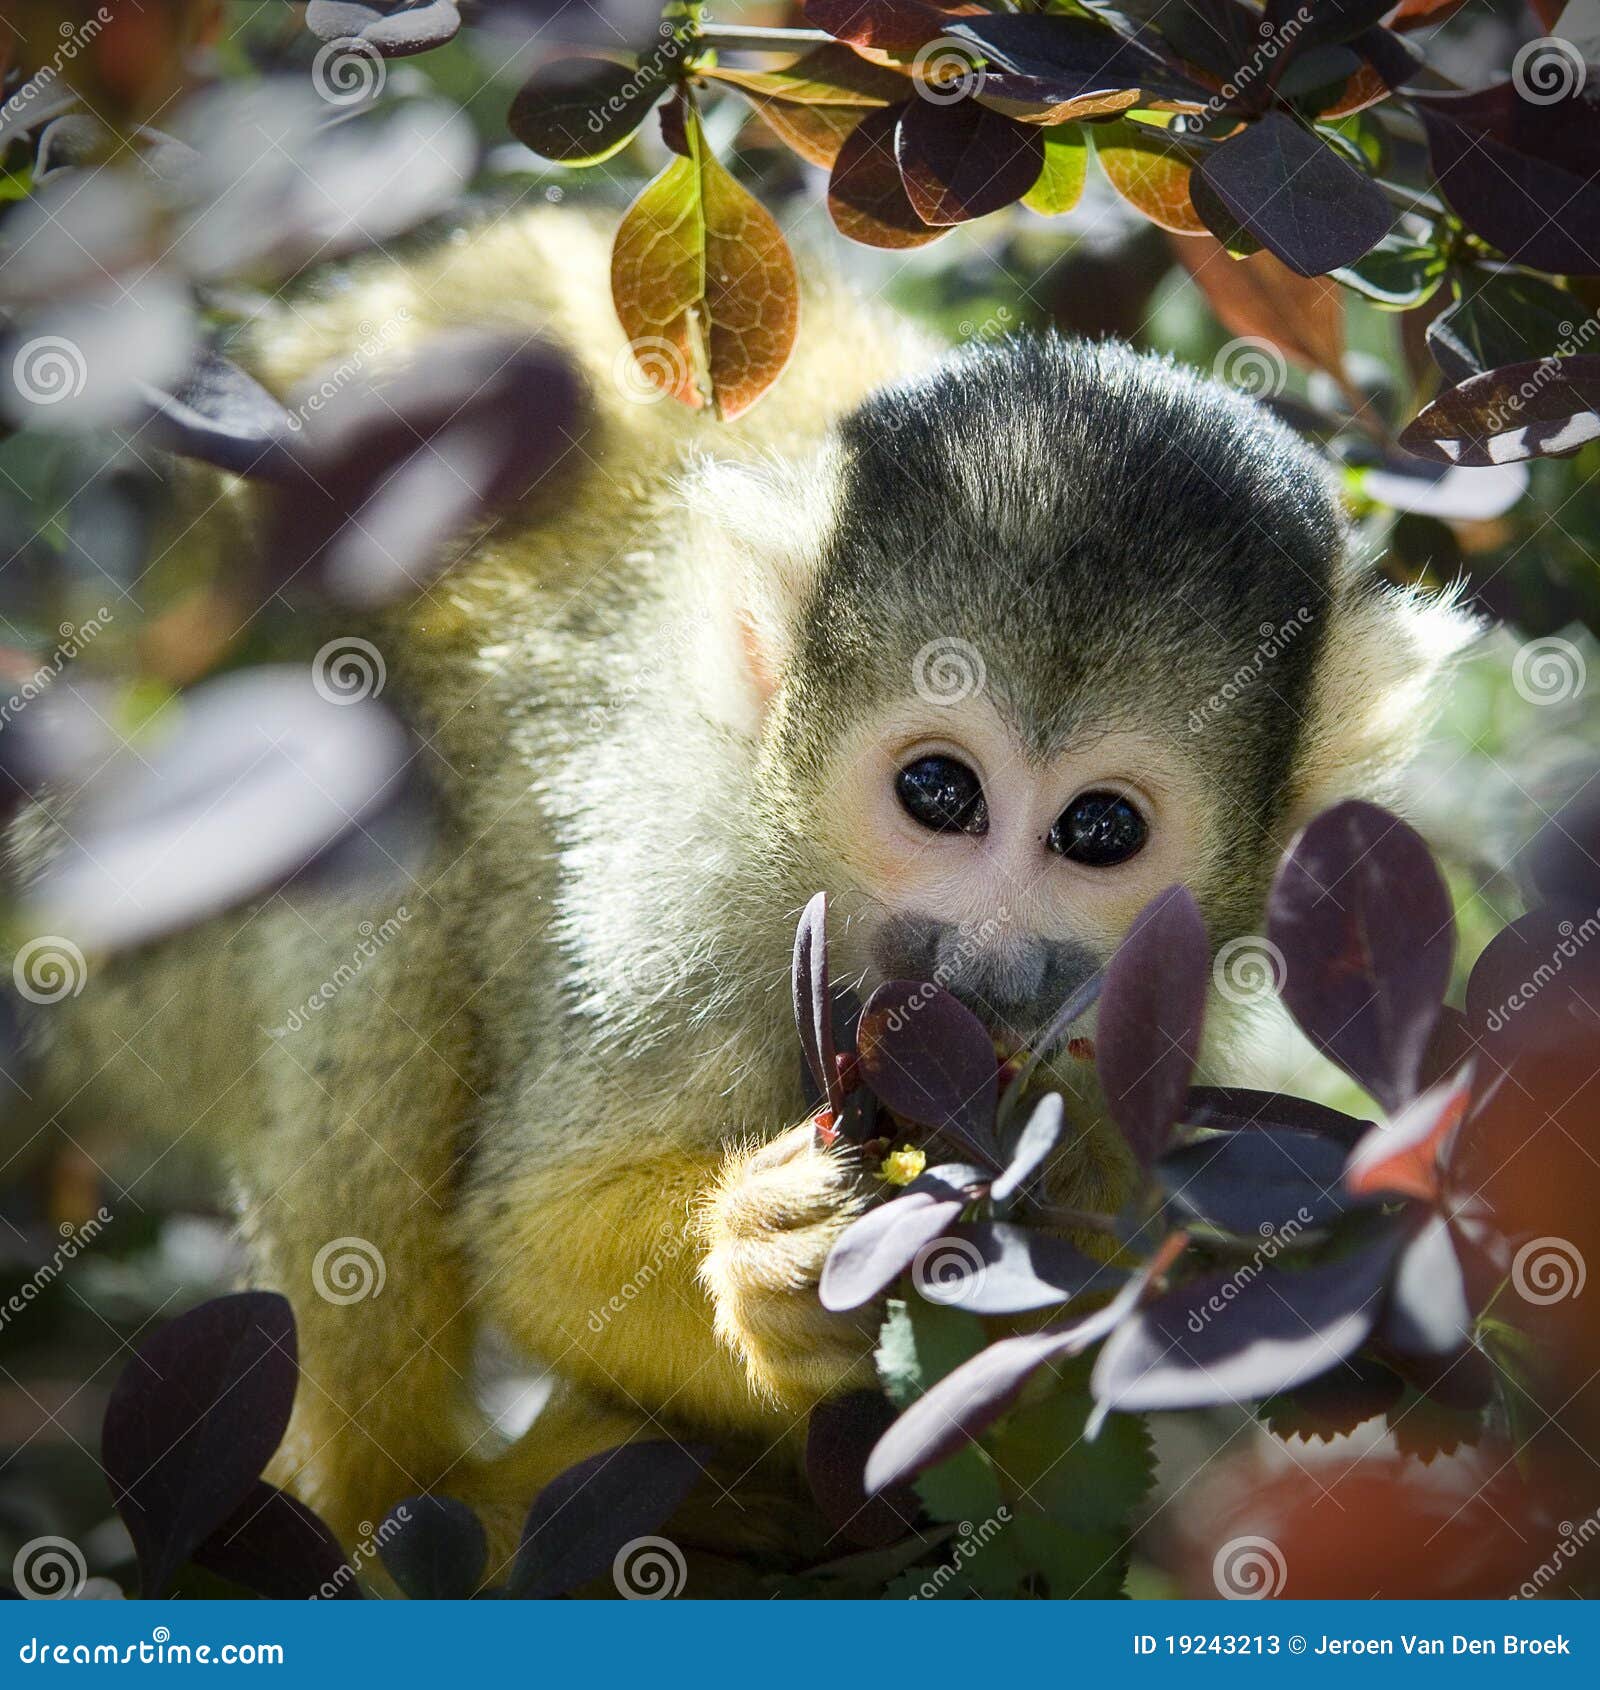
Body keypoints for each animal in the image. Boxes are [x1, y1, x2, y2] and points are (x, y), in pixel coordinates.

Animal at [9, 206, 1476, 1577]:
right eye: (939, 793)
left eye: (1100, 829)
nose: (984, 967)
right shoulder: (671, 880)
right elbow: (531, 1227)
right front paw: (759, 1268)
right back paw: (402, 1508)